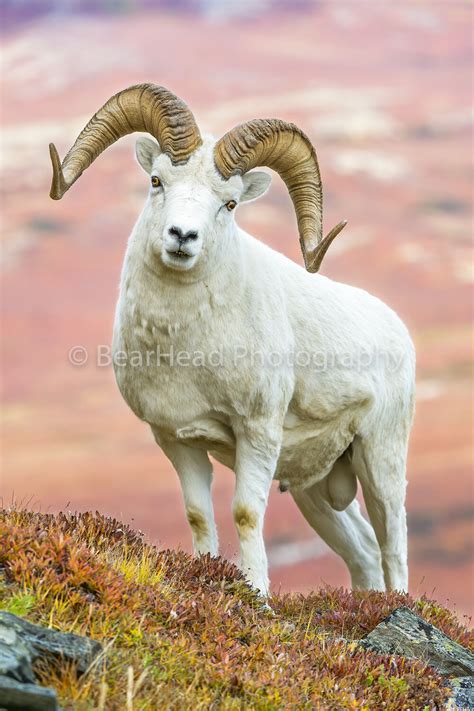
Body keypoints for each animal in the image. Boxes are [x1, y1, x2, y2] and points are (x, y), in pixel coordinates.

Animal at [49, 84, 415, 595]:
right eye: (157, 180)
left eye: (230, 204)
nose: (182, 236)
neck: (187, 352)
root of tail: (396, 328)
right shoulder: (177, 440)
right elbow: (198, 515)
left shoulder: (257, 432)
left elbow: (245, 514)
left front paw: (258, 596)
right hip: (315, 490)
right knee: (362, 552)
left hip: (380, 460)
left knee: (393, 545)